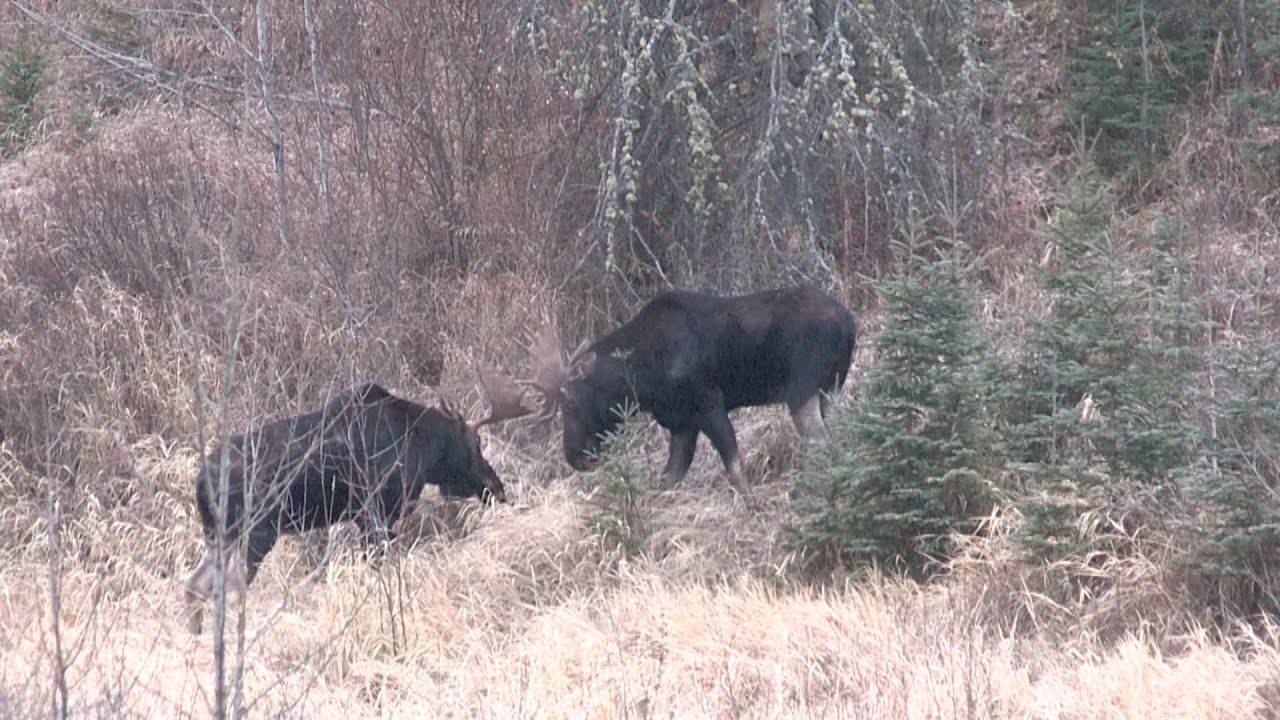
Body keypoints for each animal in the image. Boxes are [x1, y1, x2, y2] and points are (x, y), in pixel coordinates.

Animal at [184, 380, 526, 633]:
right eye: (475, 443)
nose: (497, 488)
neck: (423, 449)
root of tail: (199, 481)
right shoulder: (379, 512)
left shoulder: (364, 518)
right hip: (255, 532)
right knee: (228, 590)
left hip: (221, 536)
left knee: (195, 585)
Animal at [485, 285, 857, 499]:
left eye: (571, 405)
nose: (574, 456)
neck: (640, 380)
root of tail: (850, 323)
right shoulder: (682, 423)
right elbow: (667, 480)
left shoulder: (709, 403)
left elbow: (736, 470)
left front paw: (756, 509)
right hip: (833, 387)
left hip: (802, 388)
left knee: (822, 444)